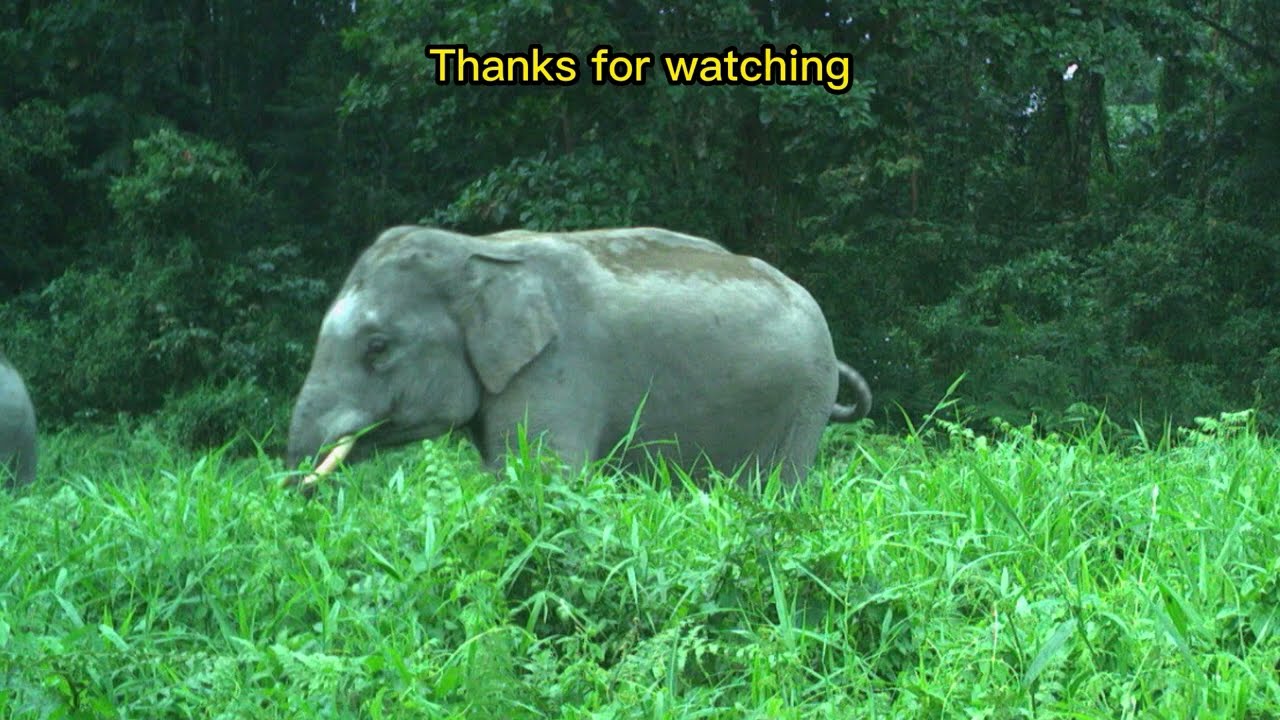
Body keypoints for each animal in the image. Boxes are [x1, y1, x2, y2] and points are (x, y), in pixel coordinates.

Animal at [286, 225, 872, 488]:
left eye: (377, 348)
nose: (295, 485)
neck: (474, 248)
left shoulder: (555, 371)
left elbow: (543, 479)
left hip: (805, 401)